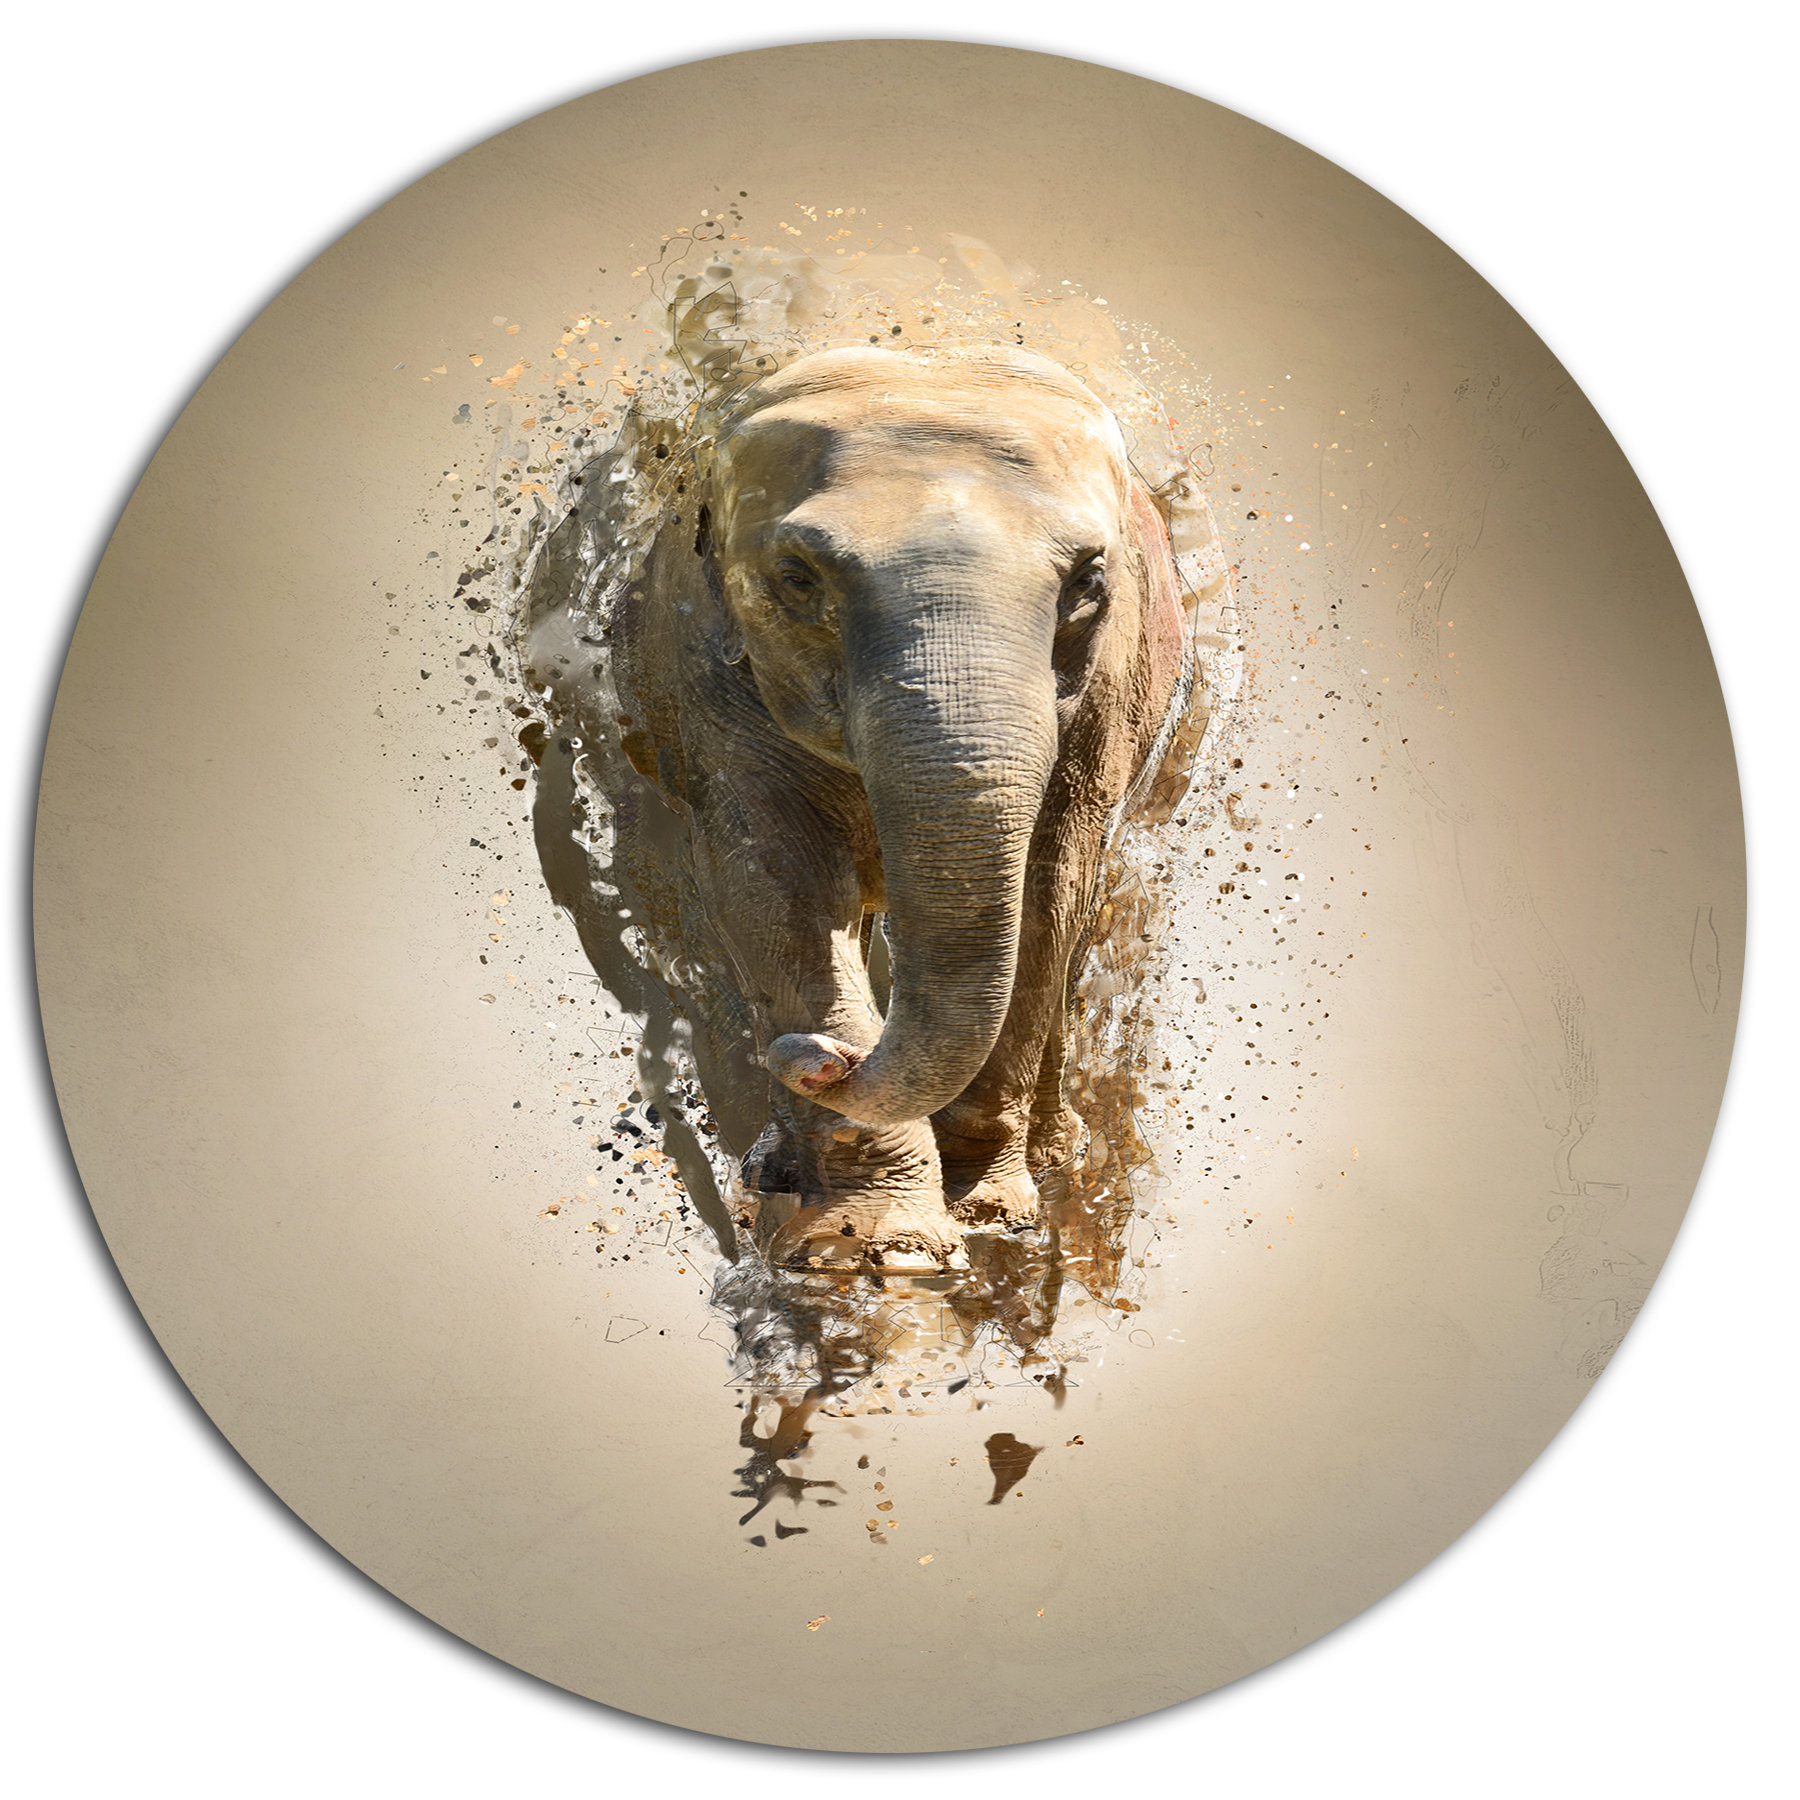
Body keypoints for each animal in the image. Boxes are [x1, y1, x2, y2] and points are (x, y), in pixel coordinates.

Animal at [524, 344, 1188, 1272]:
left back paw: (1050, 1157)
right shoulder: (704, 679)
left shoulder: (1108, 700)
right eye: (797, 579)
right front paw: (870, 1245)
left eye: (1090, 580)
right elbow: (776, 888)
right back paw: (777, 1170)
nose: (818, 1059)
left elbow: (1046, 893)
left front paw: (986, 1215)